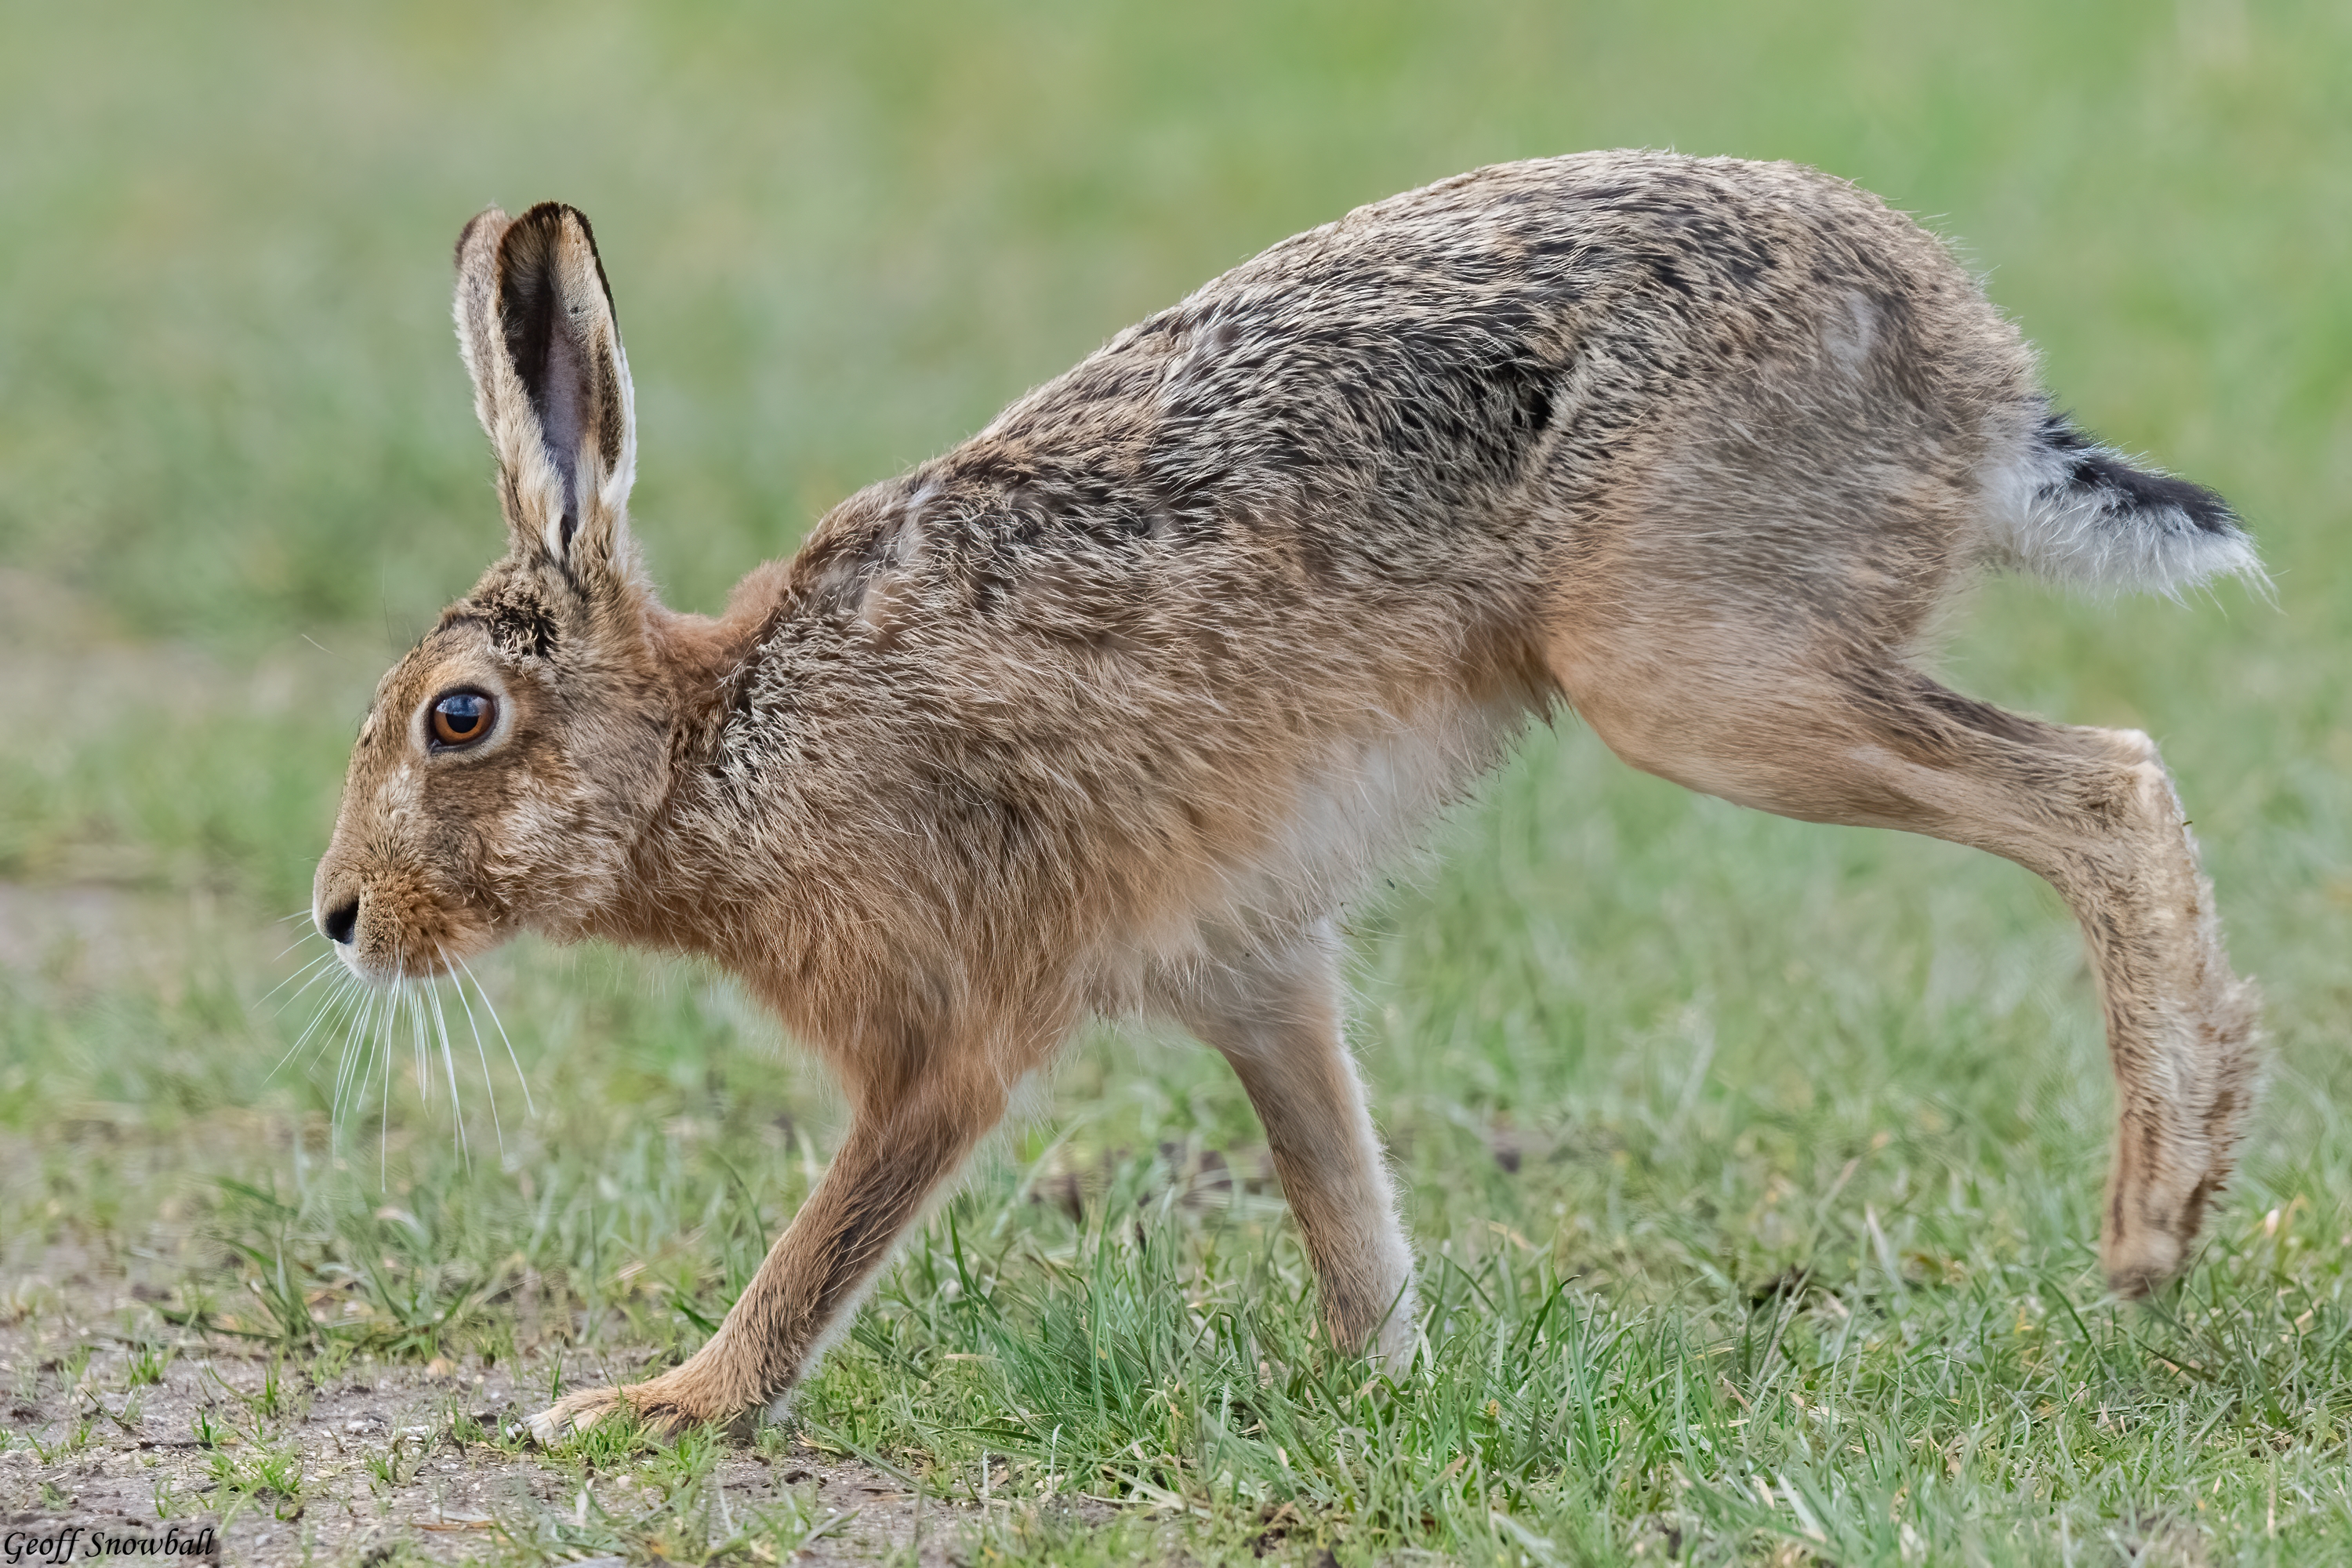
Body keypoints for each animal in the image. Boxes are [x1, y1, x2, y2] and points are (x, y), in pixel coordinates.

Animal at [312, 151, 2263, 1441]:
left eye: (458, 720)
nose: (337, 919)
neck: (713, 747)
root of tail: (1973, 364)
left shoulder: (949, 1031)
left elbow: (826, 1241)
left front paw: (654, 1405)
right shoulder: (1255, 967)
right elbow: (1342, 1192)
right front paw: (1384, 1381)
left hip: (1702, 678)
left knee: (2108, 783)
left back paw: (2156, 1225)